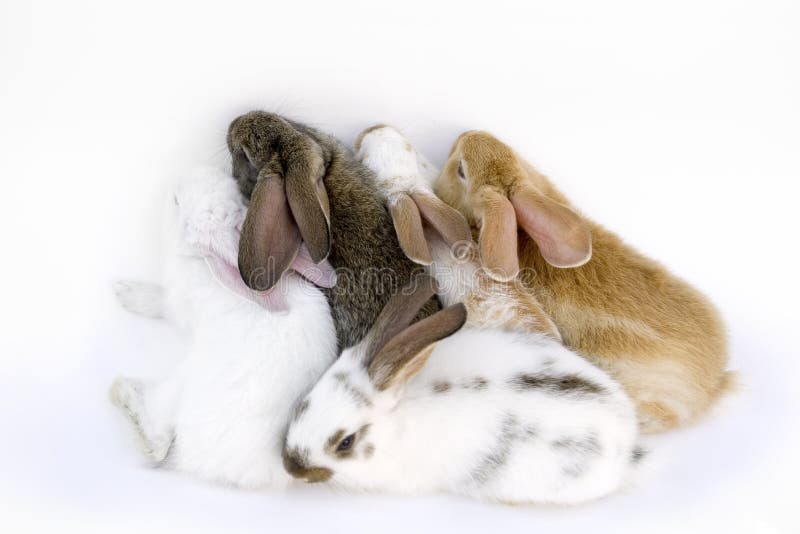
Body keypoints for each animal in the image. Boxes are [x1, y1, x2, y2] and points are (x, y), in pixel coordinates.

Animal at [109, 166, 338, 489]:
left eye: (176, 201)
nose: (179, 178)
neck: (201, 261)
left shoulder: (176, 305)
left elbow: (159, 303)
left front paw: (127, 293)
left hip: (179, 386)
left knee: (158, 443)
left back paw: (122, 391)